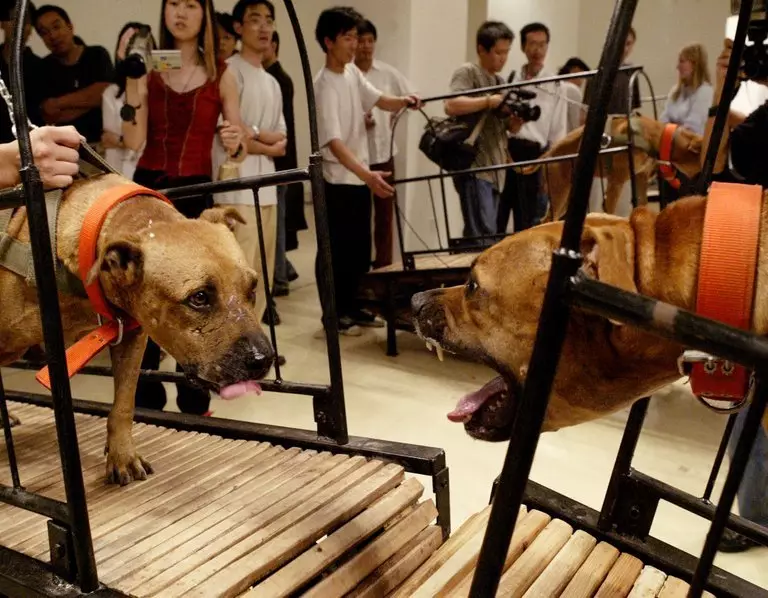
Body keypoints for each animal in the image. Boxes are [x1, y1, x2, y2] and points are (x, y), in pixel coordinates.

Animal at [0, 173, 274, 482]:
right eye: (199, 297)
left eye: (252, 288)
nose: (263, 360)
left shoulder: (132, 336)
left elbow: (124, 404)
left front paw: (122, 456)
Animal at [520, 115, 704, 223]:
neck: (656, 136)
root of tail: (550, 153)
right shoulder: (617, 181)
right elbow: (610, 209)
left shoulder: (640, 178)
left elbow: (642, 204)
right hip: (559, 193)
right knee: (546, 220)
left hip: (566, 196)